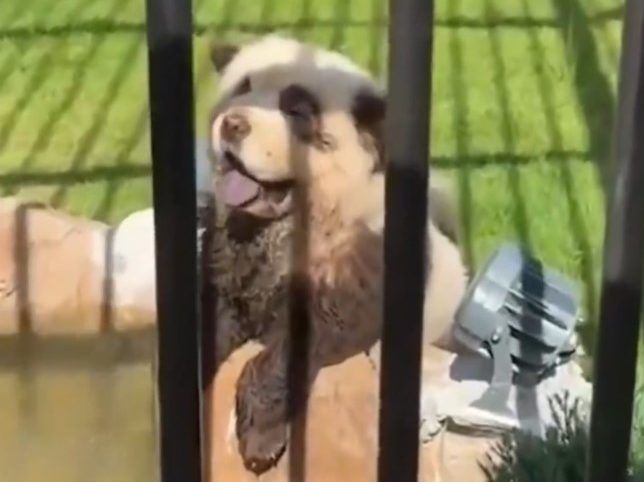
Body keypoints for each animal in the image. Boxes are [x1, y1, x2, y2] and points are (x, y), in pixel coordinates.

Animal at [201, 35, 469, 475]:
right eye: (242, 88)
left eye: (296, 110)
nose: (232, 124)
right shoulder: (231, 263)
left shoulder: (356, 270)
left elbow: (286, 353)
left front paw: (260, 440)